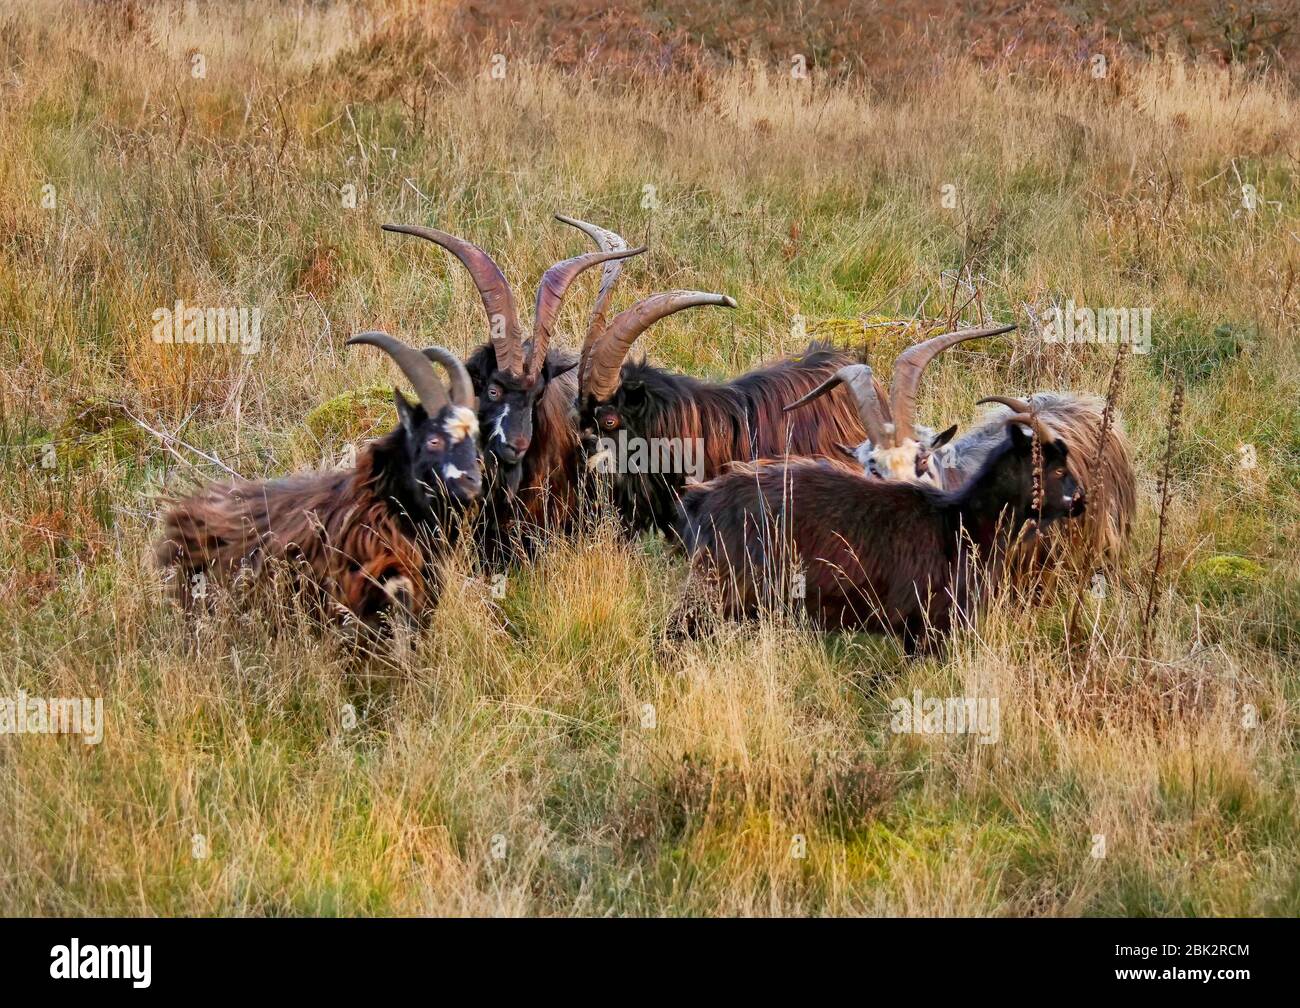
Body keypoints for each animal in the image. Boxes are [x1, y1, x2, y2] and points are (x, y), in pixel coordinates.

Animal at [678, 412, 1083, 652]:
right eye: (1058, 470)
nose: (1081, 501)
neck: (960, 520)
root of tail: (705, 497)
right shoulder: (930, 626)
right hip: (720, 593)